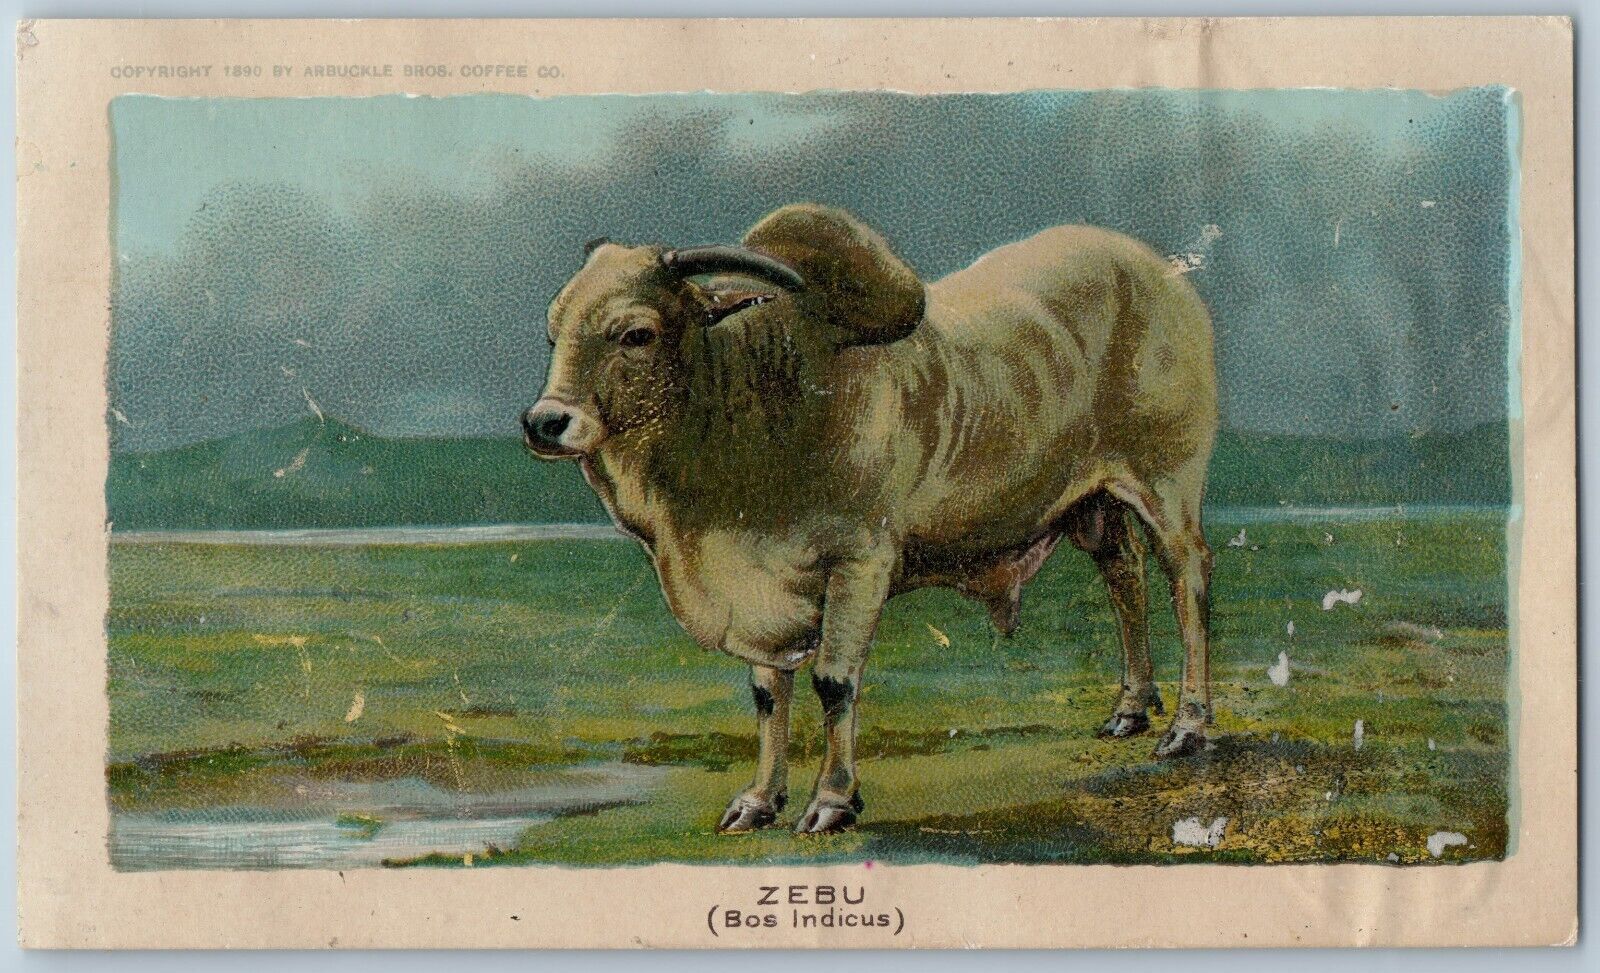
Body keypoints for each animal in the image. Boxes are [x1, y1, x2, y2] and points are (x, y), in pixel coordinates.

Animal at [522, 204, 1217, 834]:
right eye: (555, 331)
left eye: (635, 333)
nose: (545, 423)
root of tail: (1157, 271)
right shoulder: (763, 594)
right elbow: (769, 693)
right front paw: (758, 801)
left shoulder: (859, 566)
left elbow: (834, 681)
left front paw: (832, 802)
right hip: (1094, 505)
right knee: (1124, 577)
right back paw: (1130, 709)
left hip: (1166, 485)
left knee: (1187, 581)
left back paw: (1188, 726)